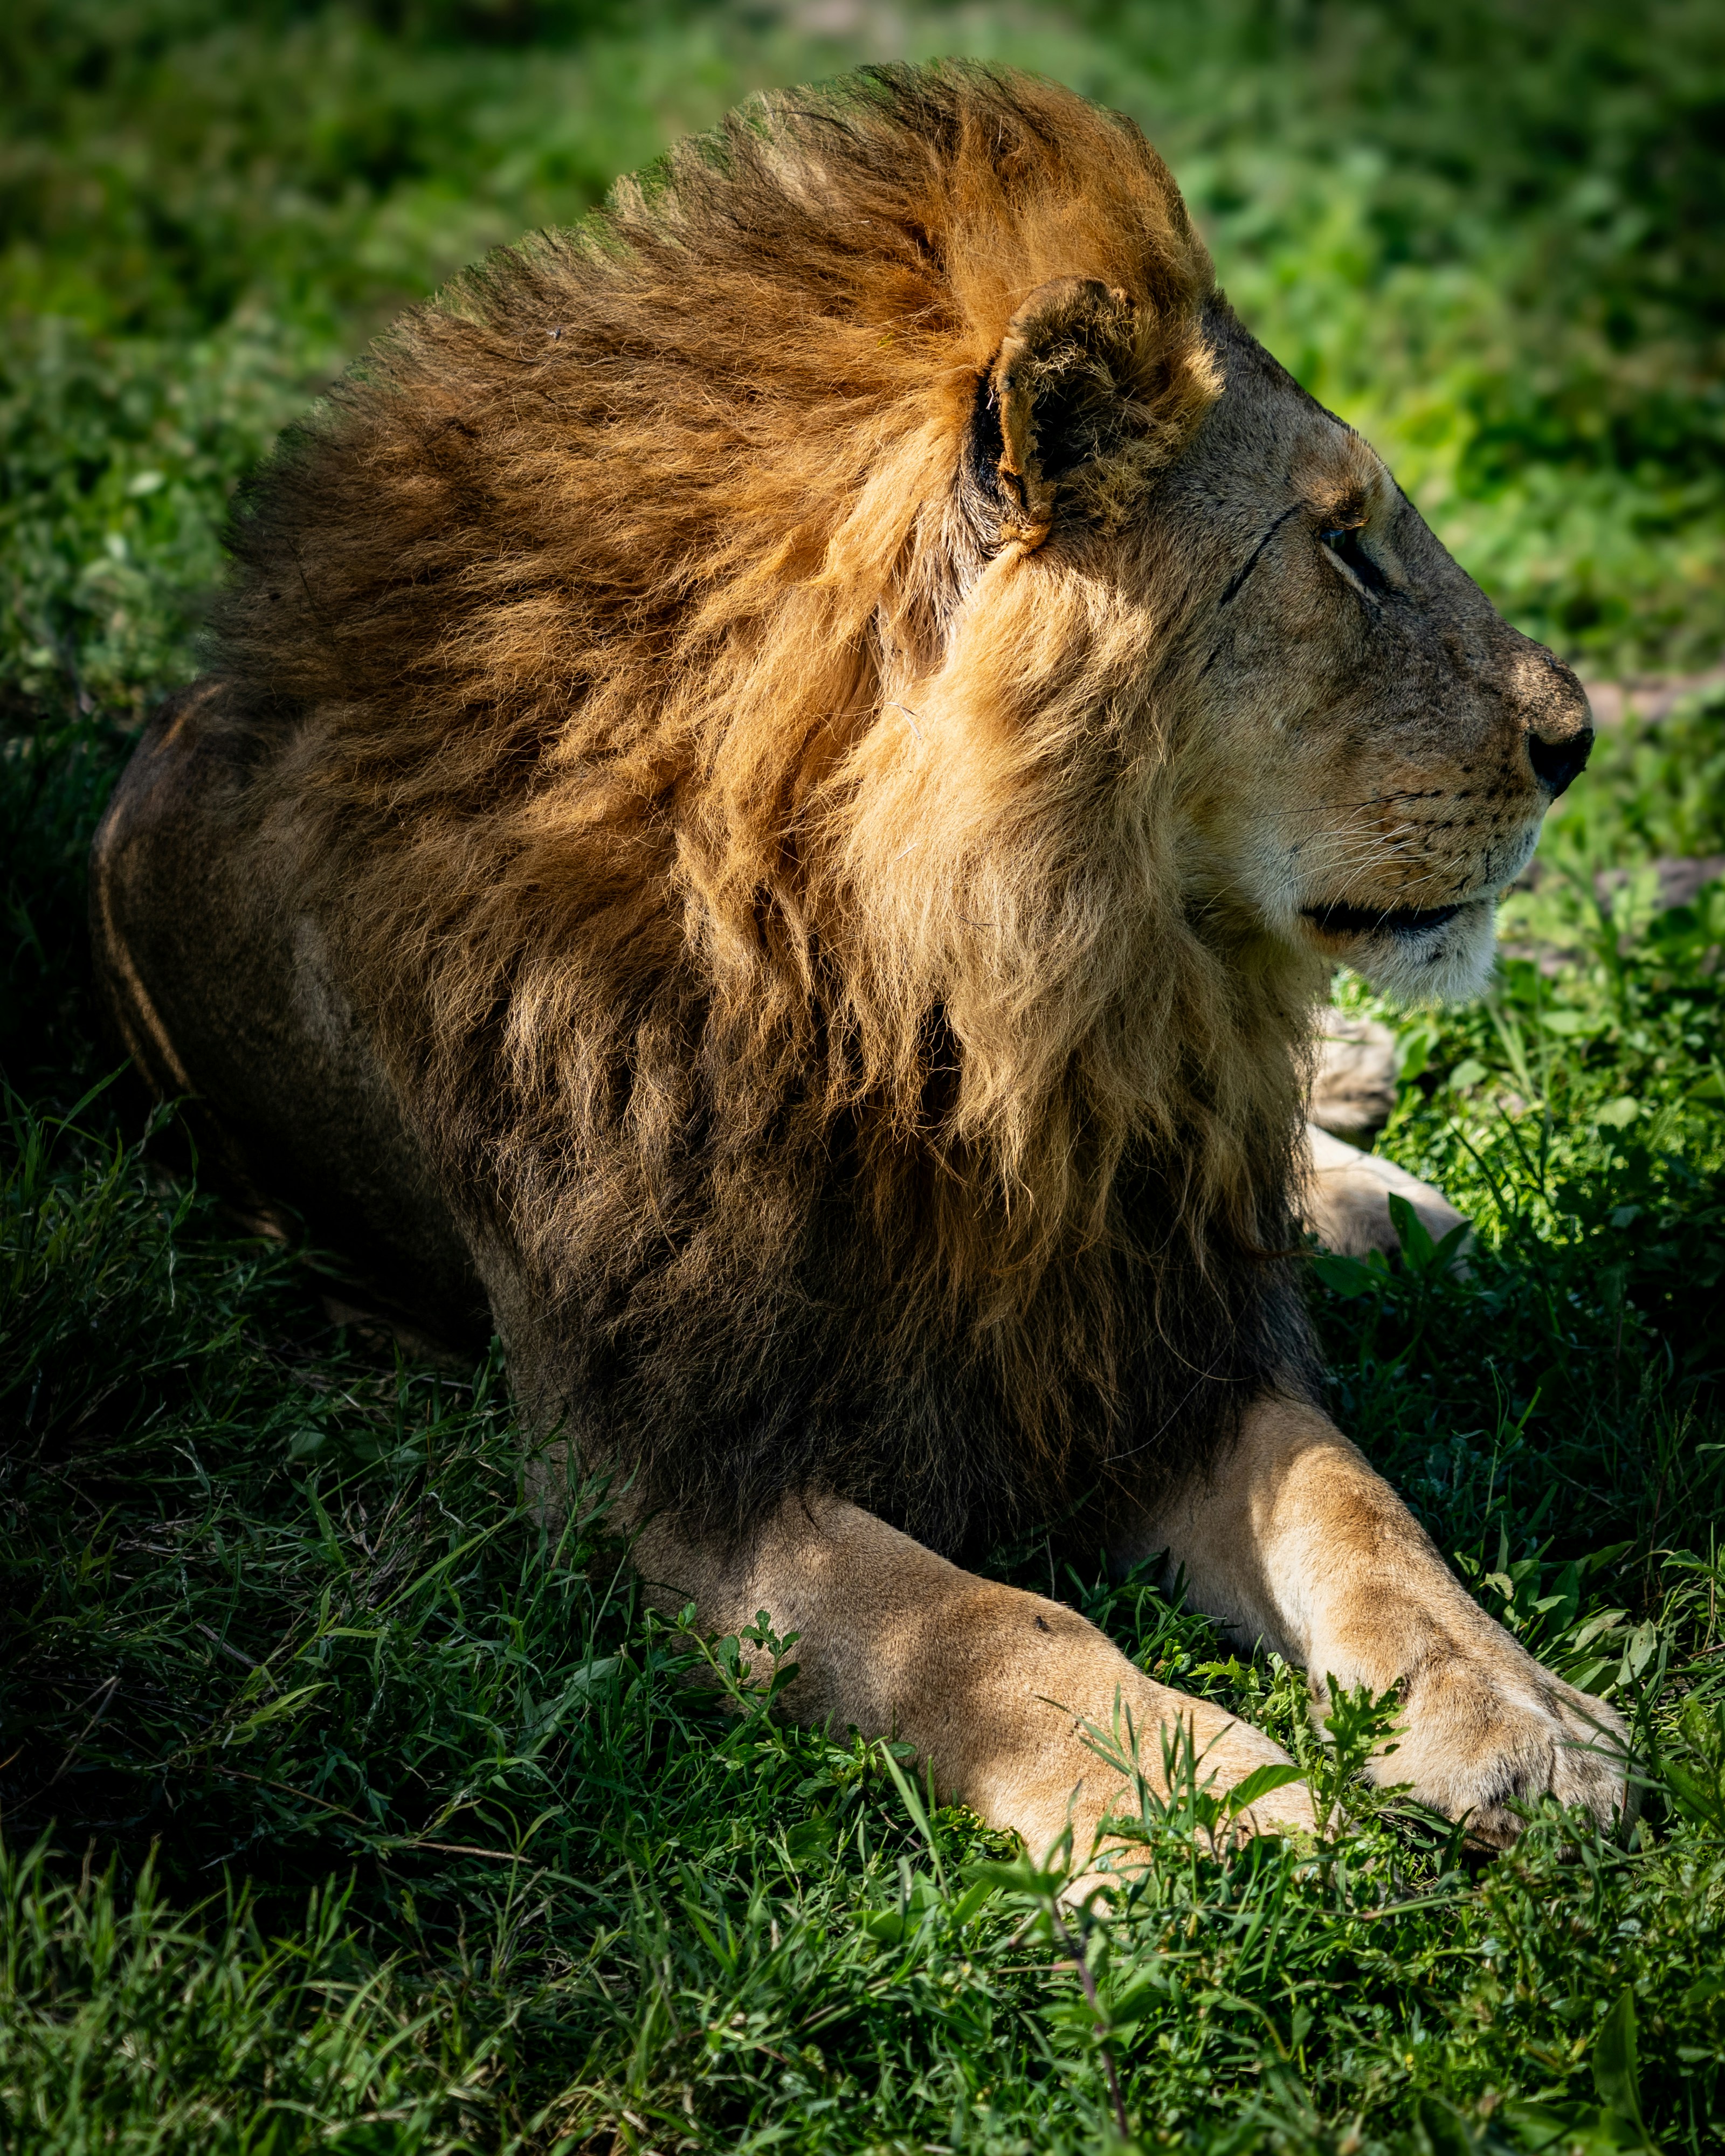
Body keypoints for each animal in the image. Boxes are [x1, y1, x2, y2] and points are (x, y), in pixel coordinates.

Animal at [90, 63, 1626, 1867]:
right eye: (1345, 546)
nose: (1578, 741)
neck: (969, 1019)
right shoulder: (661, 1454)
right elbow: (975, 1620)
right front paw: (1200, 1811)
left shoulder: (1149, 1328)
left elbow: (1358, 1507)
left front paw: (1513, 1717)